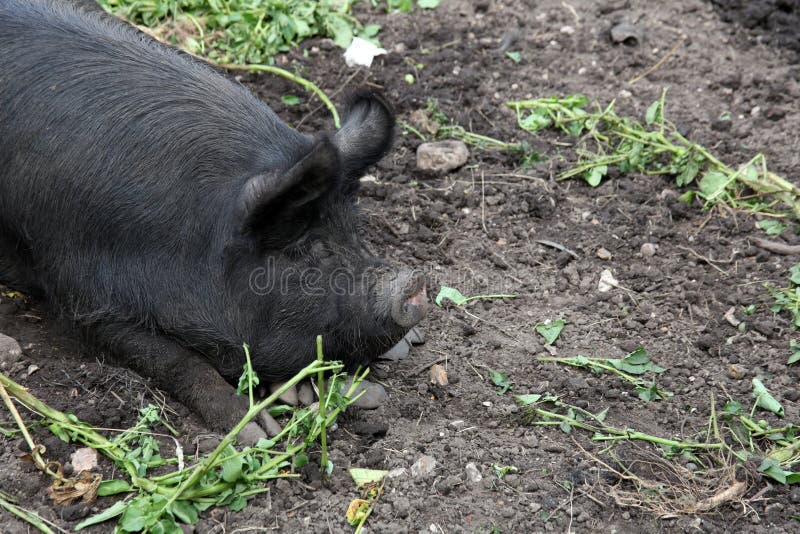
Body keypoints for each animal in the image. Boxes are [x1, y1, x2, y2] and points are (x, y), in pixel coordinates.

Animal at [0, 0, 427, 441]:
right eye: (305, 249)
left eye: (354, 229)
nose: (414, 282)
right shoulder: (79, 292)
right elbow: (173, 359)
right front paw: (256, 430)